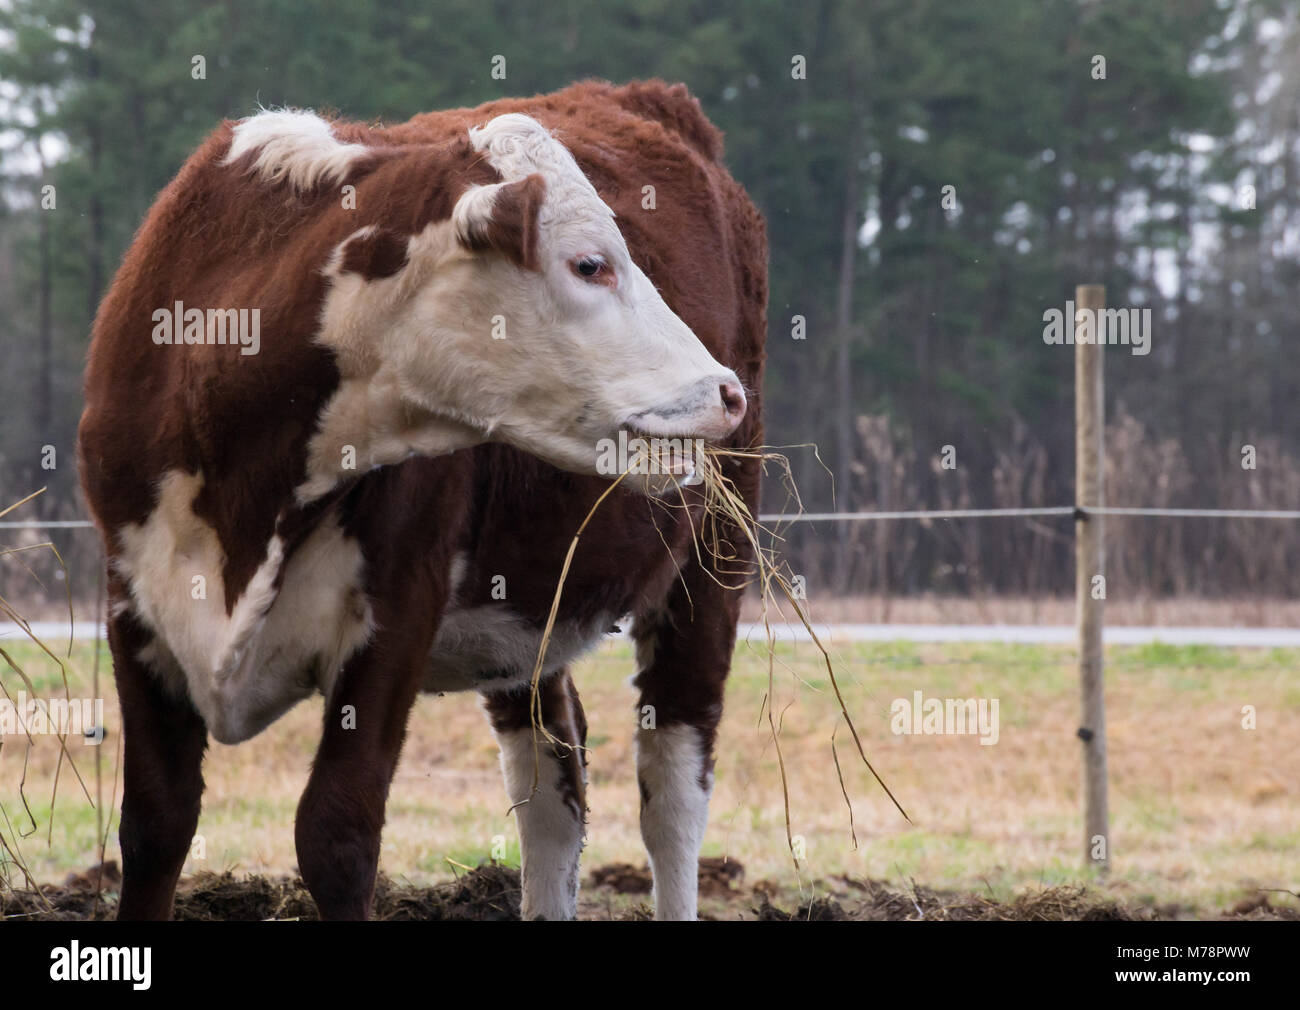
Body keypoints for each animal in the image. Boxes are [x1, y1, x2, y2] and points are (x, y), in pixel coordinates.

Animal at [77, 79, 767, 921]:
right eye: (590, 263)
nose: (723, 391)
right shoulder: (133, 602)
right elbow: (155, 825)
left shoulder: (398, 610)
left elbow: (336, 834)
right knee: (553, 793)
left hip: (716, 559)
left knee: (672, 789)